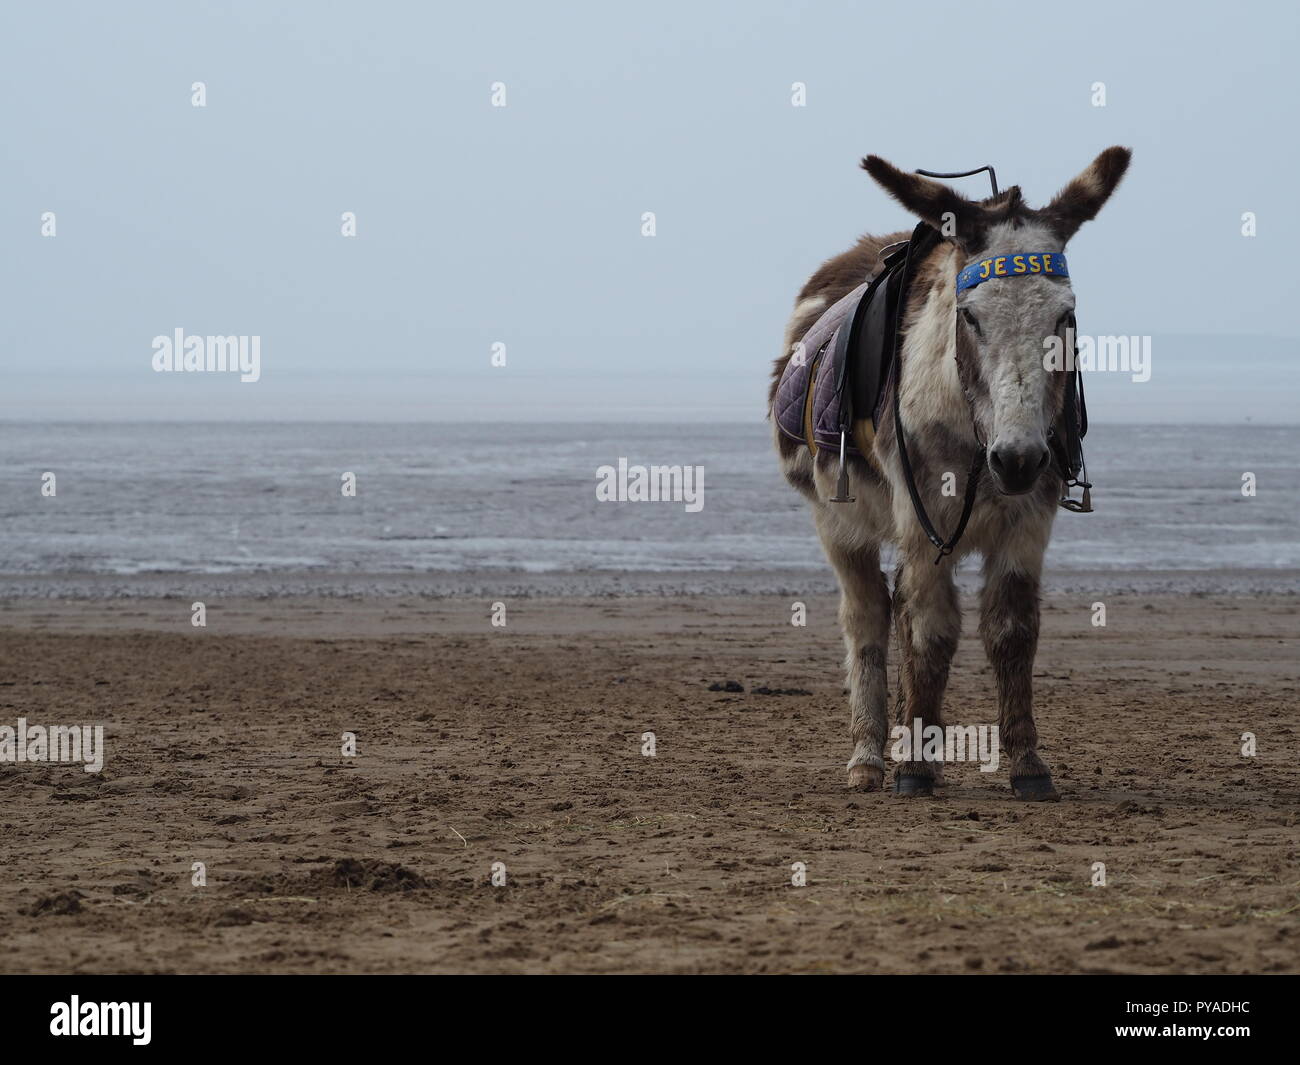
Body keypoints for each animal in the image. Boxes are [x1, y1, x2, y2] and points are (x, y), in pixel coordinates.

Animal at [769, 147, 1131, 800]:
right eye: (971, 317)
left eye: (1065, 317)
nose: (1018, 458)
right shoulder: (924, 522)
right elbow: (930, 631)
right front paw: (915, 766)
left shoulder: (1028, 522)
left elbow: (1013, 631)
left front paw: (1027, 765)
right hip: (835, 520)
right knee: (868, 615)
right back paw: (868, 759)